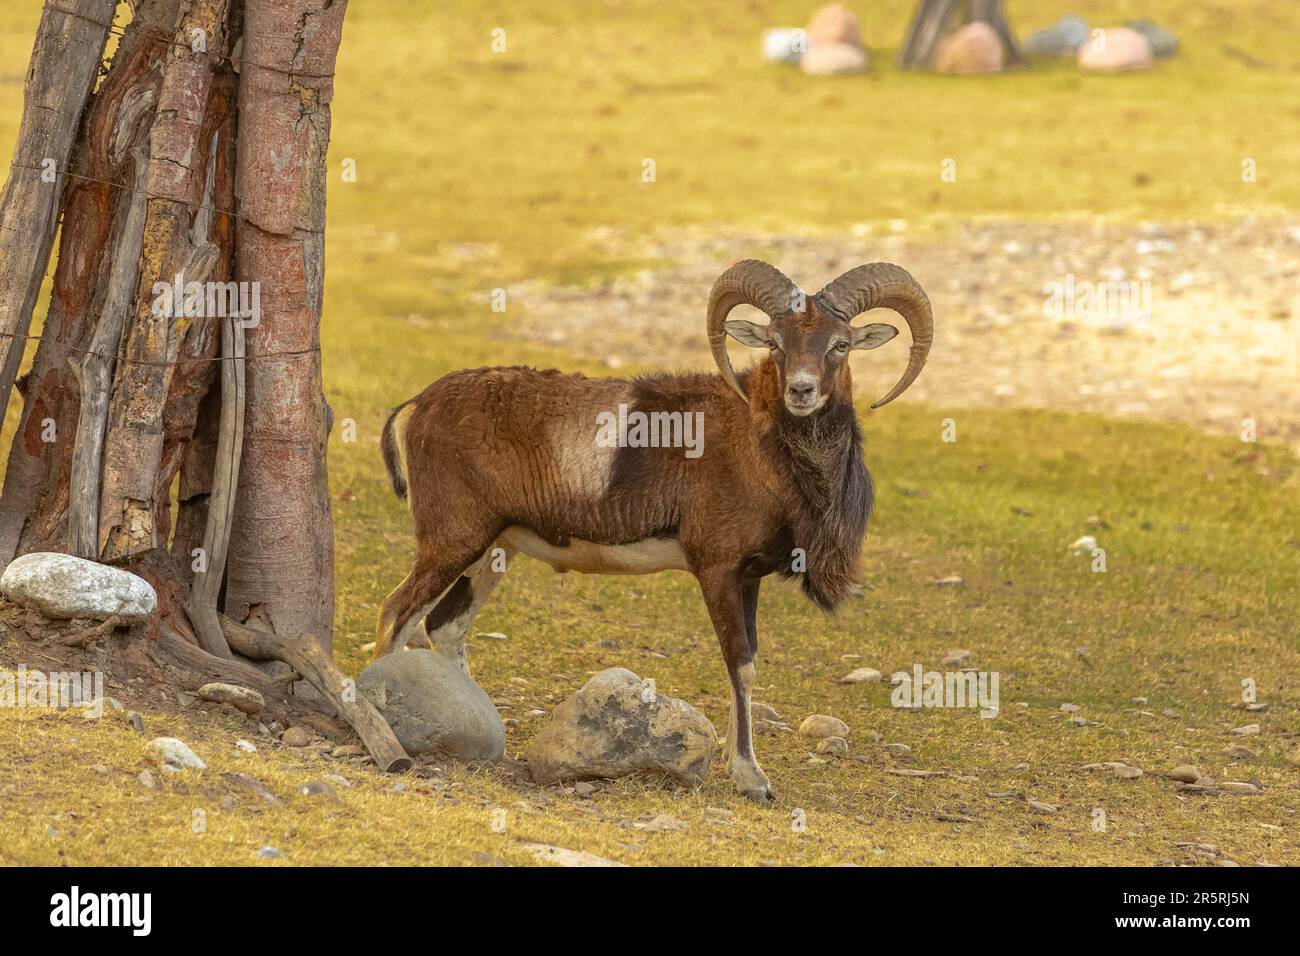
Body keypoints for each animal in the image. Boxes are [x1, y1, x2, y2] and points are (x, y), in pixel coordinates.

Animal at [375, 259, 933, 801]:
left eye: (840, 344)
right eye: (776, 342)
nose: (801, 390)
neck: (765, 451)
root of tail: (418, 405)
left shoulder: (748, 577)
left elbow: (748, 664)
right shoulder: (718, 571)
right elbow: (739, 662)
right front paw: (751, 779)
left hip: (493, 552)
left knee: (446, 627)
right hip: (452, 542)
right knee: (396, 615)